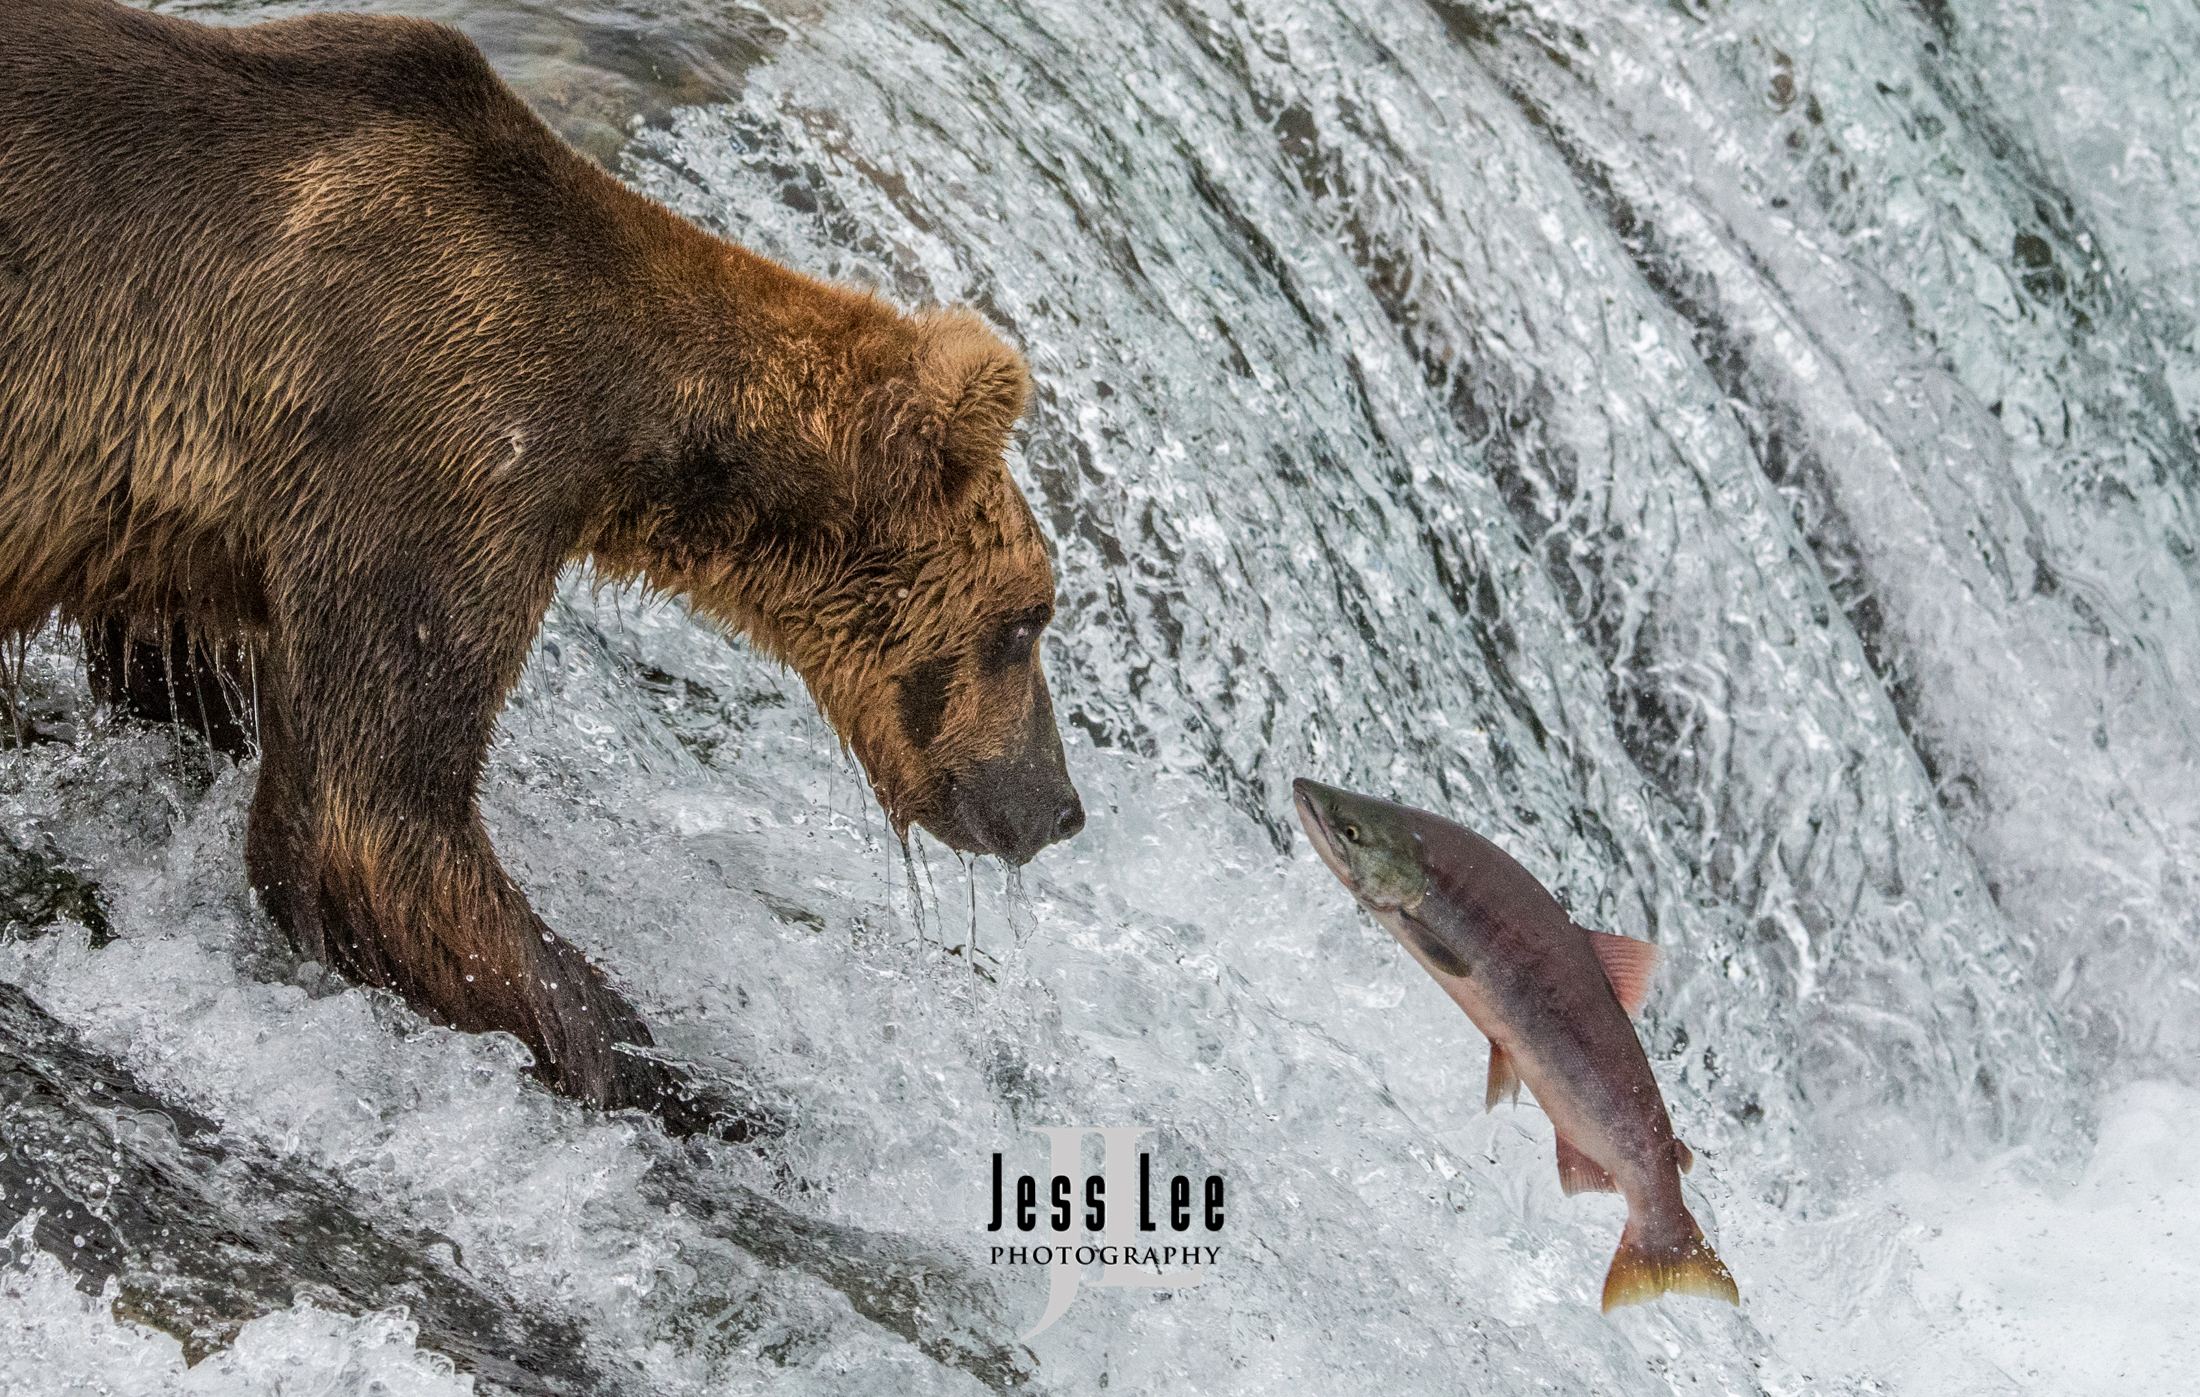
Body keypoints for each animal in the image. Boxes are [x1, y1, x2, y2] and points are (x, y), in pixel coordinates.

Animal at [0, 0, 1085, 1126]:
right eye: (1026, 620)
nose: (1058, 807)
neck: (618, 412)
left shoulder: (191, 519)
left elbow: (187, 688)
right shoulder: (429, 459)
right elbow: (376, 818)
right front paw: (685, 1080)